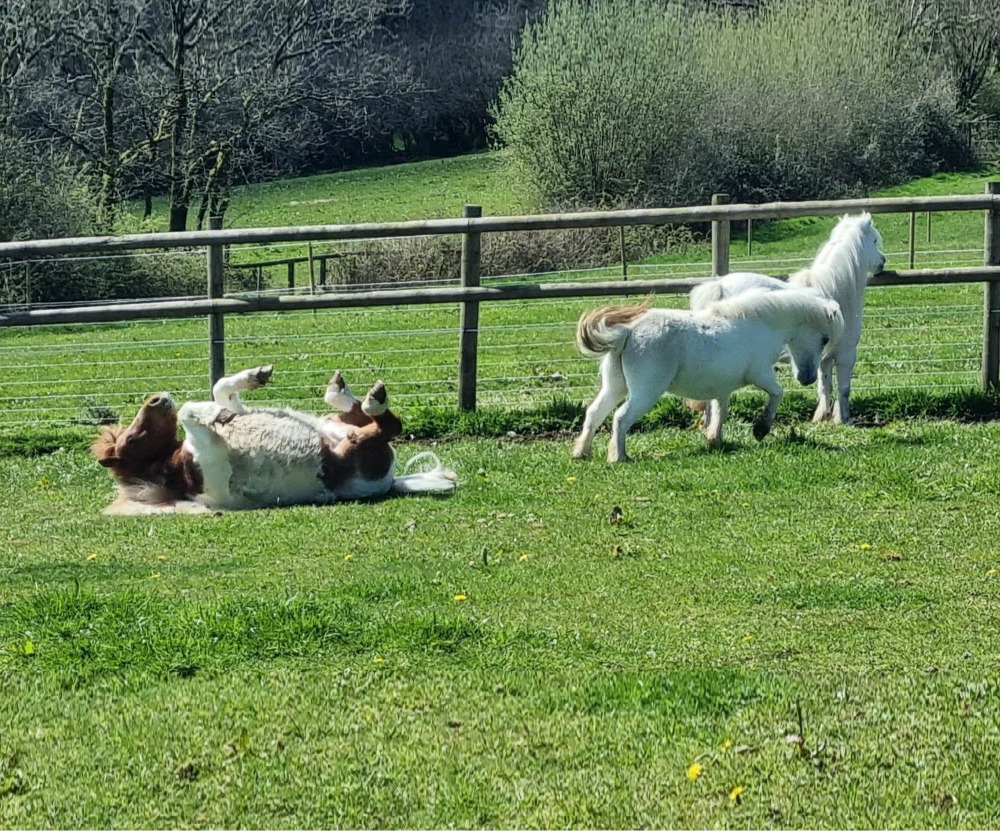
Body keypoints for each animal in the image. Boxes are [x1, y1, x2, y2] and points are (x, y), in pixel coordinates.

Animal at [92, 366, 457, 514]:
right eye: (132, 439)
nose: (157, 399)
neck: (179, 468)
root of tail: (393, 479)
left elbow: (222, 390)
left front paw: (252, 380)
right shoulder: (215, 468)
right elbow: (189, 411)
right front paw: (216, 414)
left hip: (335, 425)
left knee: (354, 412)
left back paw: (341, 390)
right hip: (360, 446)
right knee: (386, 425)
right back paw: (373, 398)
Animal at [572, 289, 844, 462]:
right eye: (824, 338)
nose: (807, 378)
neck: (760, 325)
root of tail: (627, 332)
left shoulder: (723, 387)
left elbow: (720, 410)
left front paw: (715, 440)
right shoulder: (761, 373)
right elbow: (777, 393)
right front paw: (760, 429)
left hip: (615, 386)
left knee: (594, 413)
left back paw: (581, 453)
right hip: (645, 392)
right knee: (621, 417)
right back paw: (618, 457)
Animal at [688, 212, 886, 424]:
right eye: (874, 240)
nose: (883, 261)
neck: (834, 292)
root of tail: (719, 286)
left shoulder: (824, 358)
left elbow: (825, 386)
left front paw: (822, 417)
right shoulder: (846, 355)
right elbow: (844, 389)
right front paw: (843, 419)